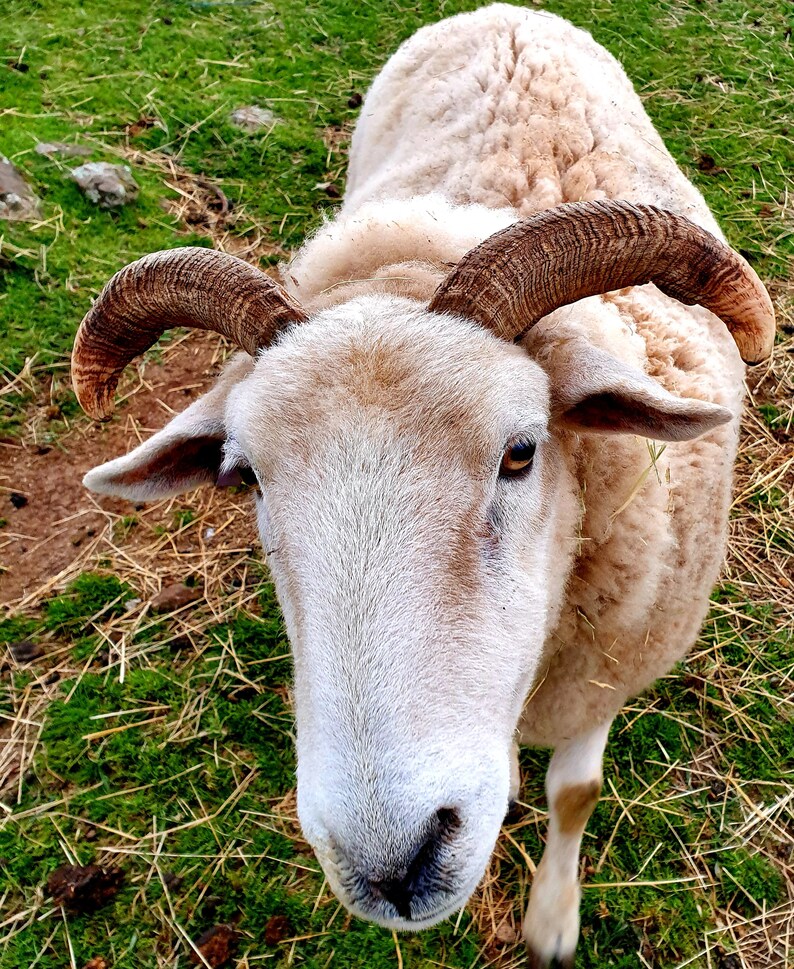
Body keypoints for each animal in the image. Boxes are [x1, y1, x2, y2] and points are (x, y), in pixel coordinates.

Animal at [70, 5, 775, 965]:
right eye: (247, 477)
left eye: (521, 451)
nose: (393, 863)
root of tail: (506, 14)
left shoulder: (612, 664)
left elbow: (575, 794)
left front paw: (552, 920)